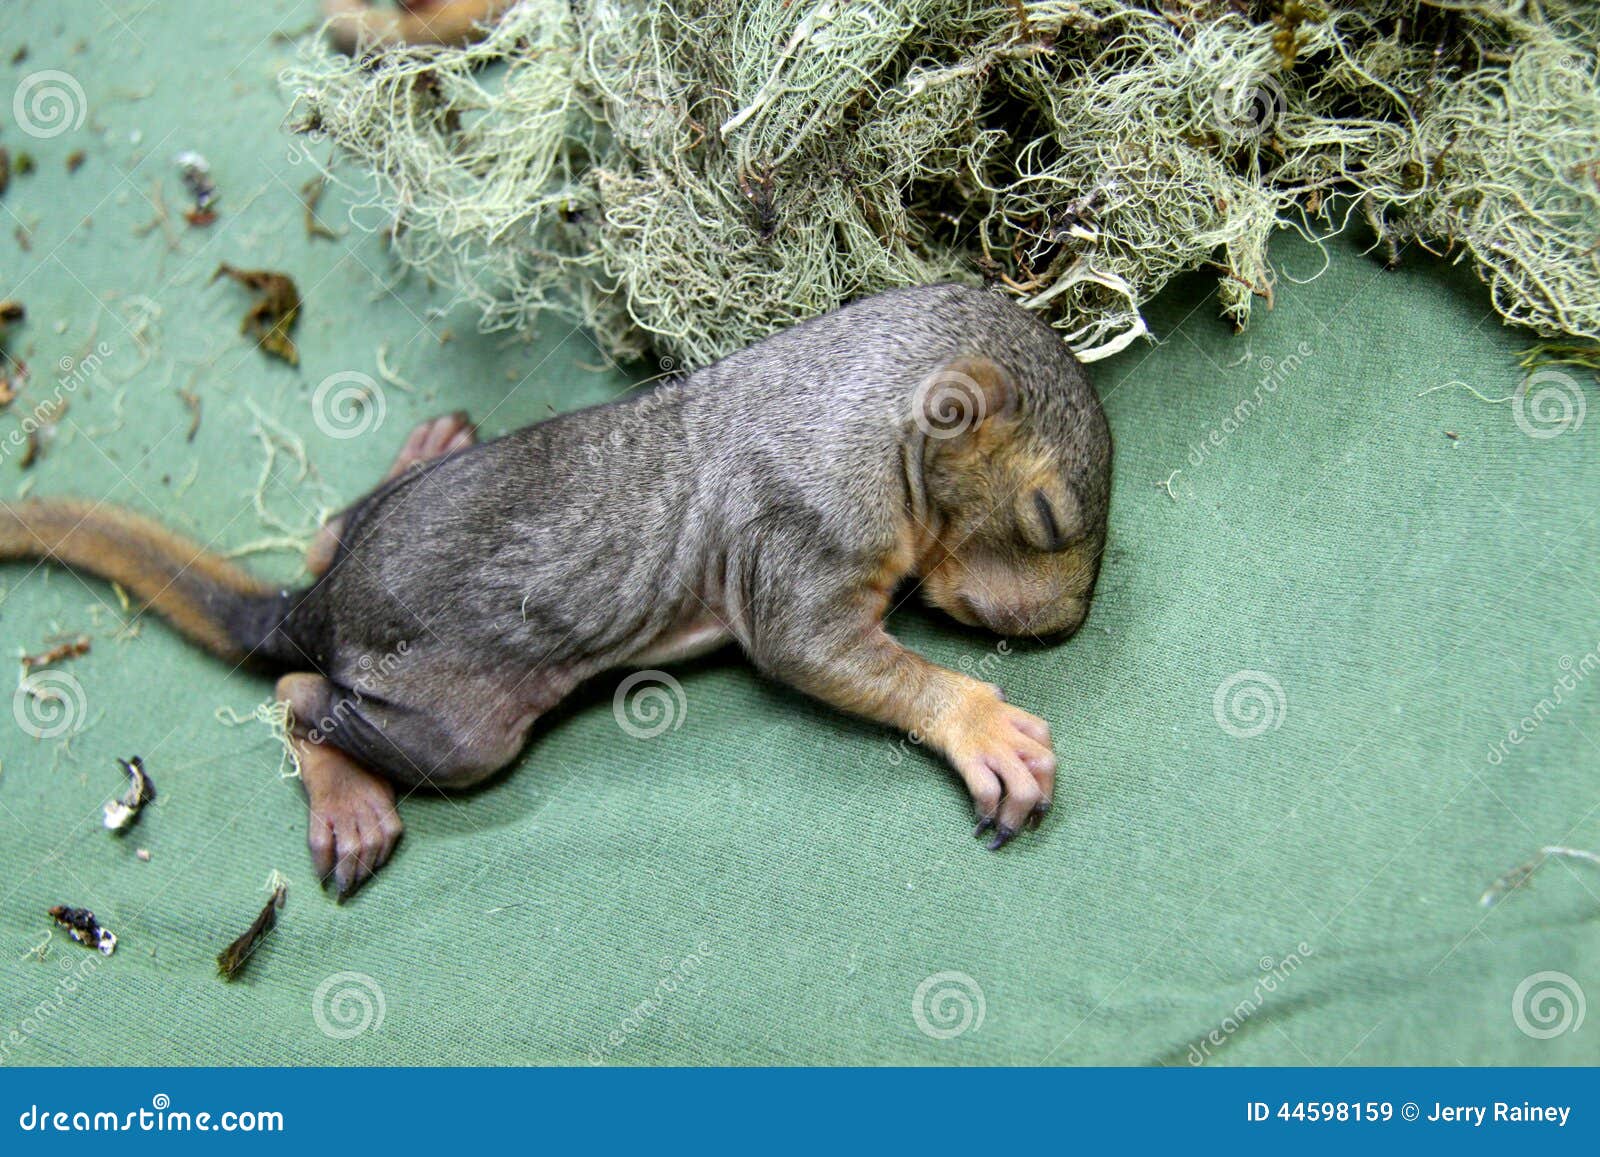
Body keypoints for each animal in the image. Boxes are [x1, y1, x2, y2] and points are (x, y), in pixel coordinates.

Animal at [1, 284, 1111, 897]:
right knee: (300, 695)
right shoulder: (810, 521)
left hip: (357, 550)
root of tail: (316, 606)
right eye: (1048, 517)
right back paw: (346, 794)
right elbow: (807, 644)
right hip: (455, 723)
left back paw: (420, 449)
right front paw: (987, 729)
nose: (1071, 622)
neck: (850, 390)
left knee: (321, 536)